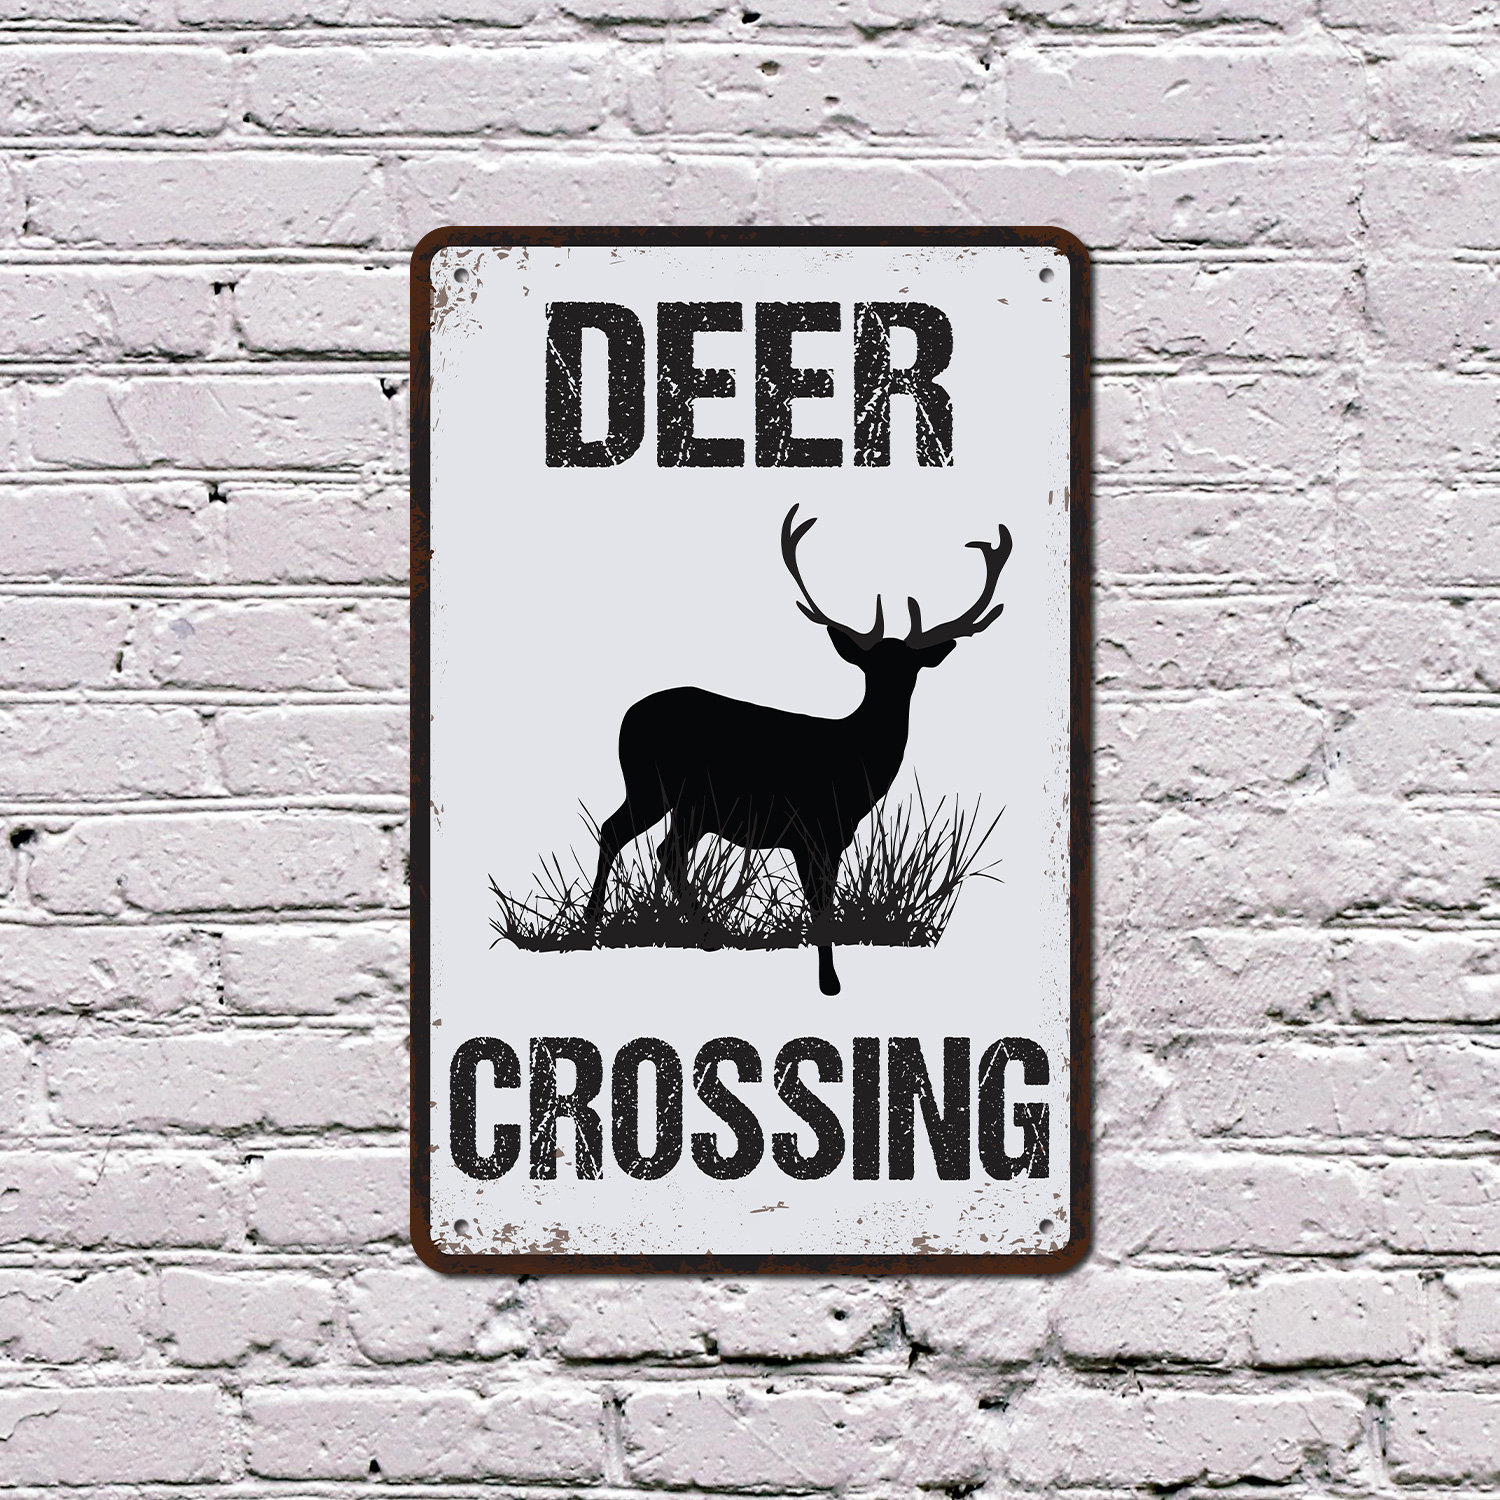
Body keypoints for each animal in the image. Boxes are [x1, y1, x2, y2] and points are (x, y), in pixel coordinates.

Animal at [583, 505, 1013, 996]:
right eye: (870, 666)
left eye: (911, 666)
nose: (893, 693)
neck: (856, 766)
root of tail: (627, 718)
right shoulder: (810, 829)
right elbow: (819, 908)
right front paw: (830, 983)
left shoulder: (833, 838)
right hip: (674, 792)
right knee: (656, 848)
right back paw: (685, 932)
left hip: (661, 794)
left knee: (626, 835)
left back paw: (607, 927)